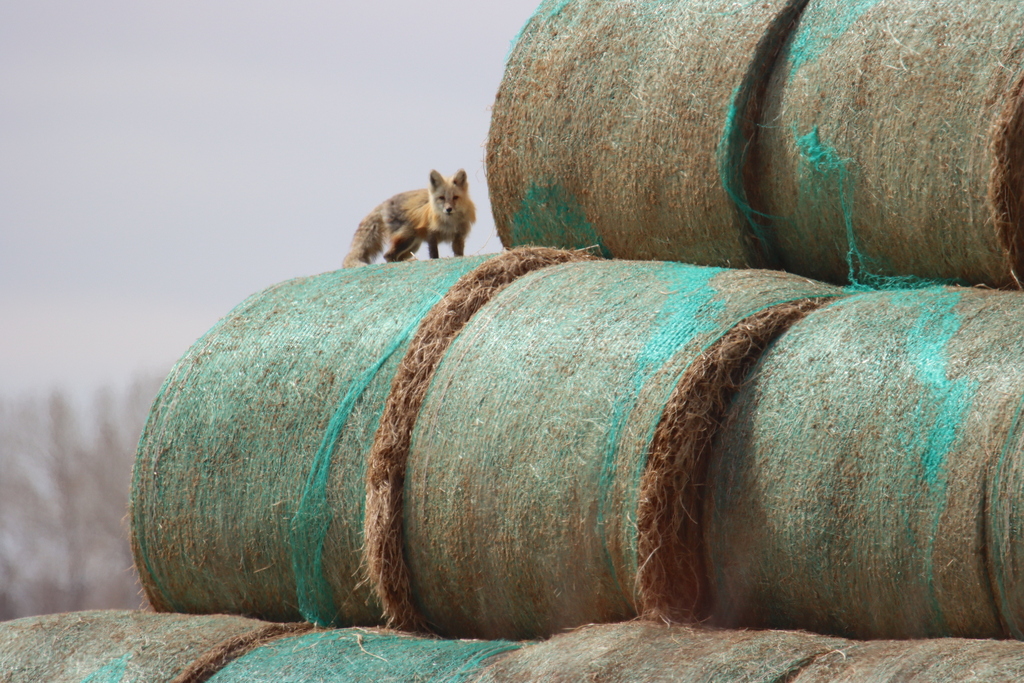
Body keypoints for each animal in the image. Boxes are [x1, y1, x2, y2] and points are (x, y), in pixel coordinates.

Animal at [343, 169, 476, 267]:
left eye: (455, 197)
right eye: (442, 198)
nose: (448, 209)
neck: (449, 222)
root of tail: (385, 202)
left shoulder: (459, 237)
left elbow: (459, 255)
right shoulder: (431, 235)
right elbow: (434, 255)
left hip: (413, 245)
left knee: (395, 256)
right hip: (407, 237)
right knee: (388, 255)